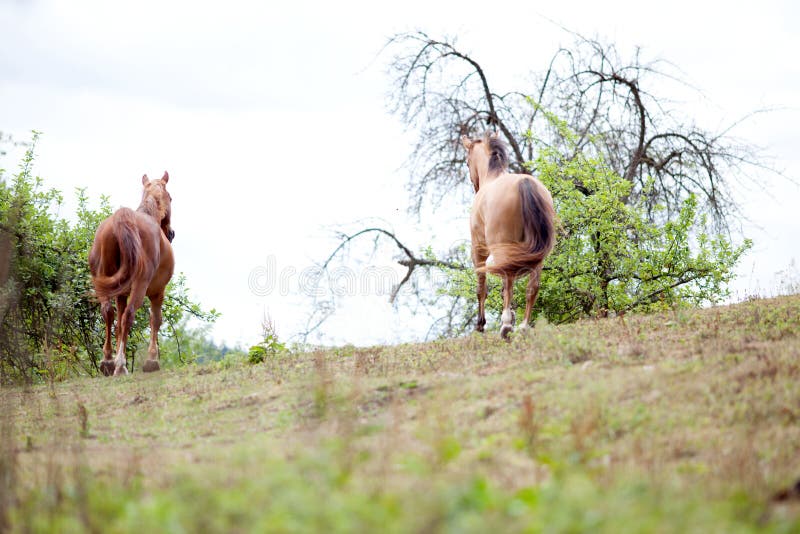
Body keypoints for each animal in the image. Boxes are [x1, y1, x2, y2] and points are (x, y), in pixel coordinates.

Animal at [89, 172, 175, 376]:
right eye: (171, 198)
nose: (171, 233)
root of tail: (122, 219)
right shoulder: (158, 292)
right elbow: (155, 320)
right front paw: (152, 360)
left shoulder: (120, 294)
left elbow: (118, 324)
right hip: (140, 286)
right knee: (129, 315)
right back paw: (120, 366)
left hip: (104, 283)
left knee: (108, 313)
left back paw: (108, 361)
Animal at [462, 132, 555, 339]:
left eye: (466, 162)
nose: (474, 186)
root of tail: (524, 184)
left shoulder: (478, 250)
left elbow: (482, 287)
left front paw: (480, 325)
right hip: (537, 256)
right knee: (532, 287)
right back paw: (523, 326)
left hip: (502, 247)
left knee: (509, 279)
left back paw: (506, 325)